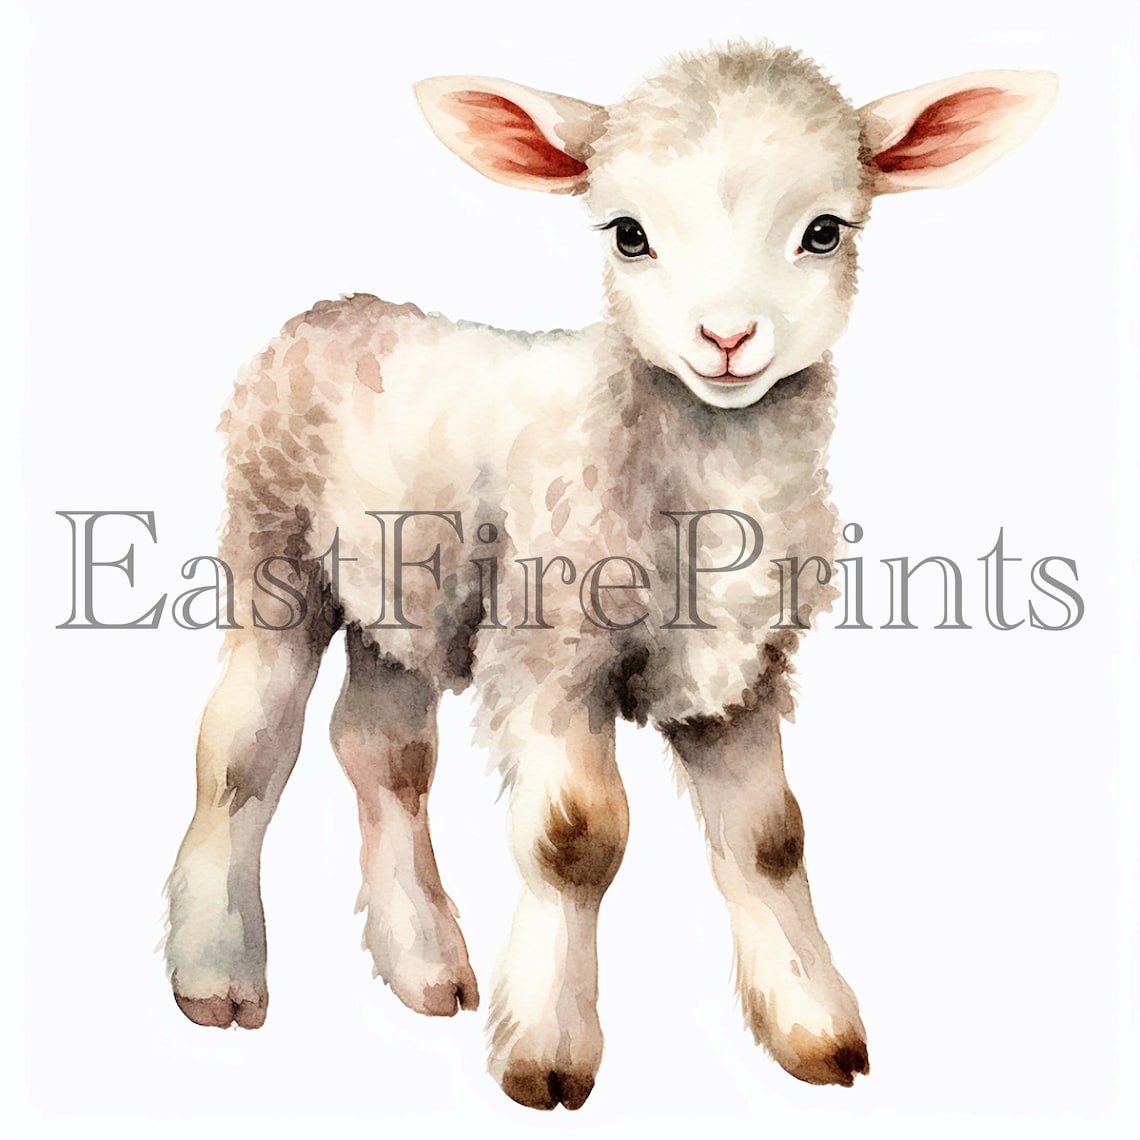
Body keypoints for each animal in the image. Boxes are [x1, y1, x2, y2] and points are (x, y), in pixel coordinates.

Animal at [163, 41, 1056, 1110]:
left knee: (380, 749)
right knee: (244, 745)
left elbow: (771, 839)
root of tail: (336, 308)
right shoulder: (552, 649)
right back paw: (217, 974)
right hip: (275, 553)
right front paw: (548, 1054)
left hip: (411, 595)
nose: (727, 339)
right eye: (628, 234)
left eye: (825, 230)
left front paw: (814, 1030)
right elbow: (576, 838)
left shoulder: (741, 673)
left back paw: (425, 964)